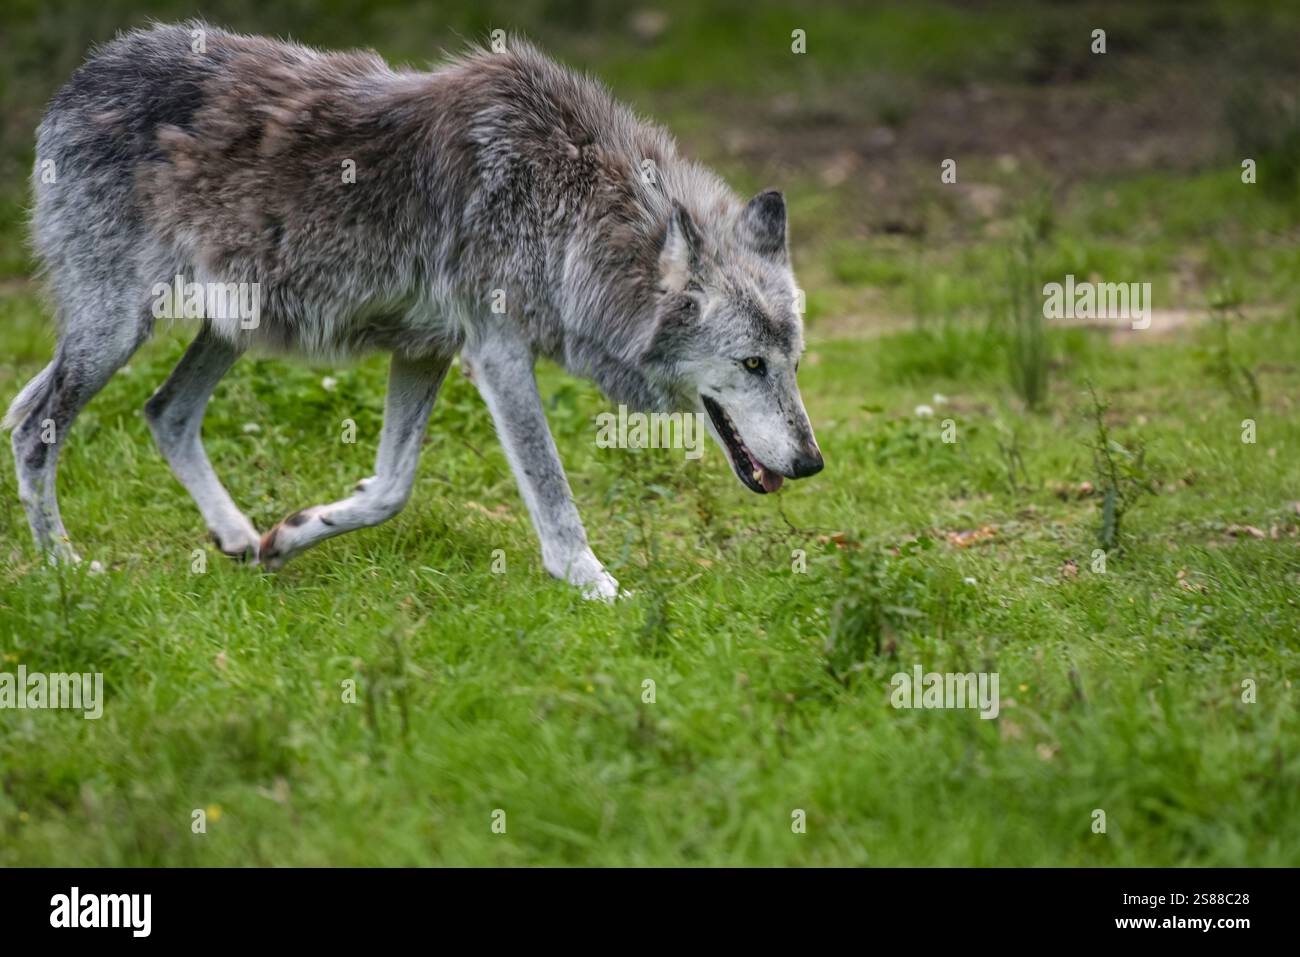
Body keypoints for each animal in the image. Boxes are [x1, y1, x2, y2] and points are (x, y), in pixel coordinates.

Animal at [6, 23, 823, 599]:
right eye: (752, 364)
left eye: (792, 364)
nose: (812, 462)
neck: (566, 206)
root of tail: (84, 73)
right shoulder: (495, 354)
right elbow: (553, 495)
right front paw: (598, 589)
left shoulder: (427, 349)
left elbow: (390, 490)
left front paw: (292, 534)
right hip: (119, 328)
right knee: (34, 427)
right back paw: (66, 568)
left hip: (228, 327)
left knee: (158, 410)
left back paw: (238, 537)